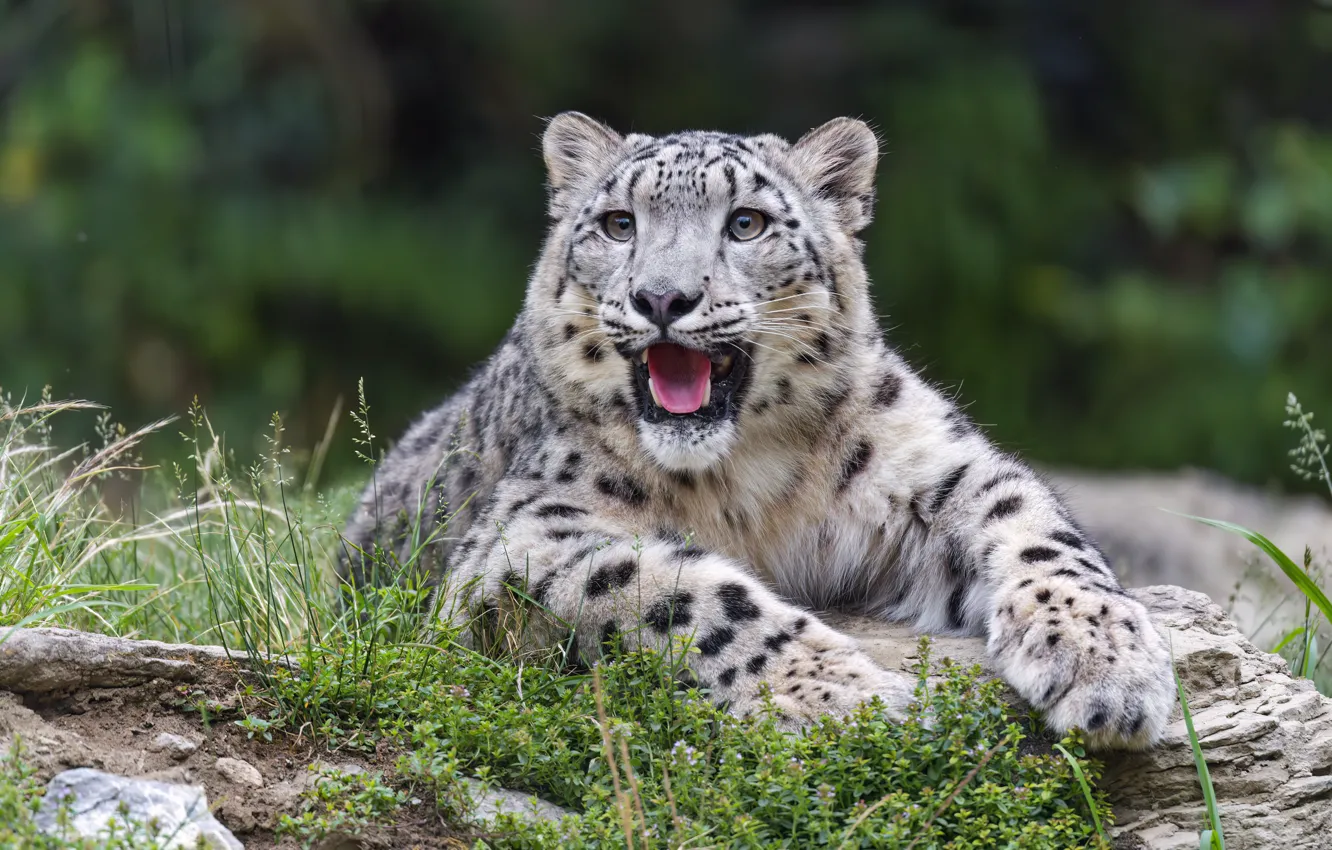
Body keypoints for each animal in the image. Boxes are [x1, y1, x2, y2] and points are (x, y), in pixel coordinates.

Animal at [342, 112, 1175, 750]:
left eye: (746, 223)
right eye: (618, 224)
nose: (662, 297)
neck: (742, 480)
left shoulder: (936, 464)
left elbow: (1035, 525)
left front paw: (1107, 663)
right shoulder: (524, 534)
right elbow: (680, 591)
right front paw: (845, 696)